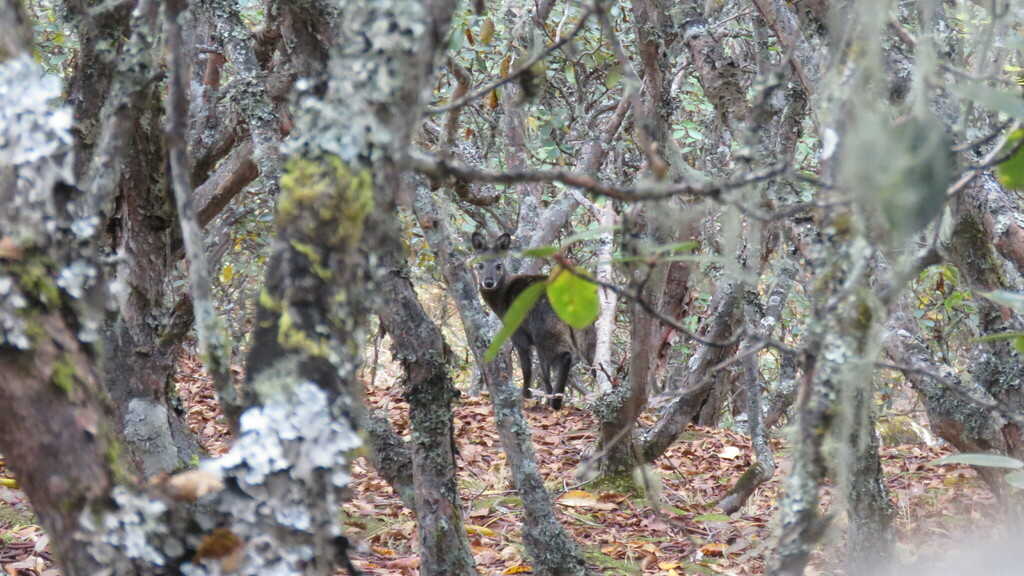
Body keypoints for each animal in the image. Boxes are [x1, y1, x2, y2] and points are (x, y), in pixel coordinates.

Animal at [471, 231, 595, 409]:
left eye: (499, 265)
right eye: (479, 265)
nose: (488, 282)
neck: (502, 303)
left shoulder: (518, 333)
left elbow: (527, 369)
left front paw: (527, 398)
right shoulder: (535, 344)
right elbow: (544, 374)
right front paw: (544, 399)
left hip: (546, 330)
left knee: (566, 356)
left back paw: (557, 403)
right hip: (585, 333)